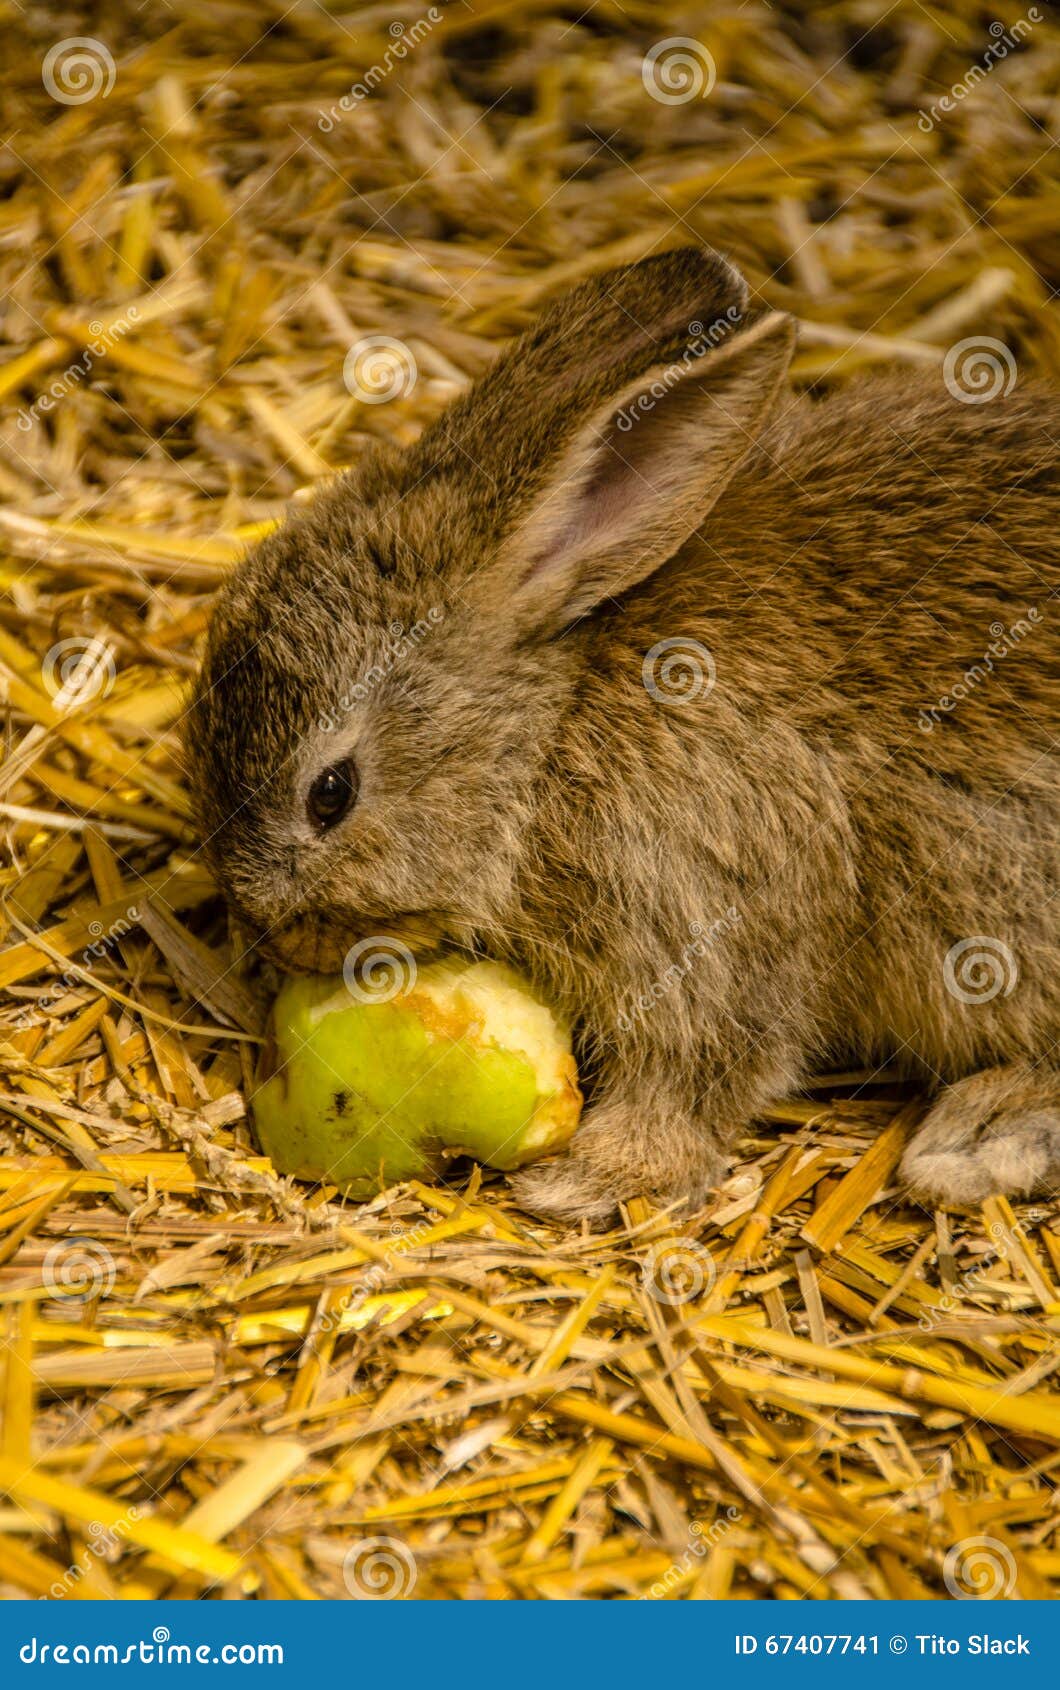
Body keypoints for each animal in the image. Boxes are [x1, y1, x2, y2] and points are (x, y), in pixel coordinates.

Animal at [186, 246, 1059, 1225]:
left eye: (330, 795)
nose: (272, 939)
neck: (543, 732)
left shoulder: (708, 915)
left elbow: (698, 1074)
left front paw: (588, 1178)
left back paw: (977, 1141)